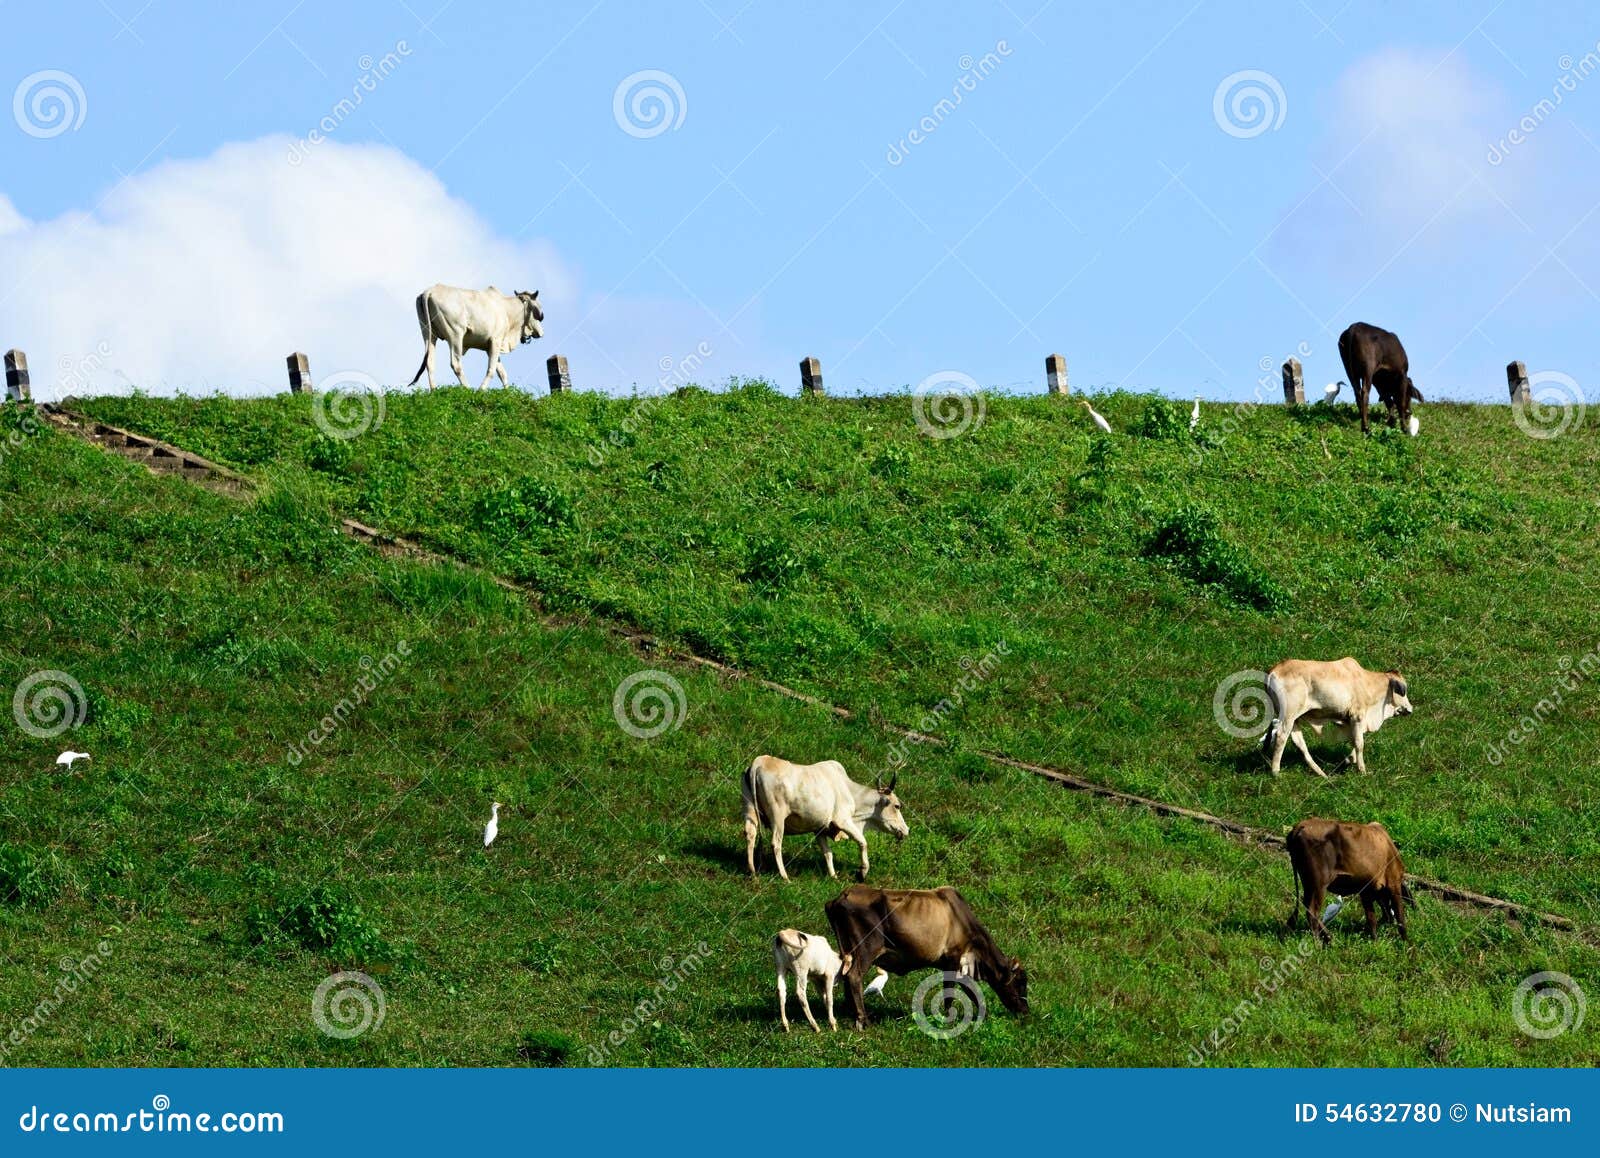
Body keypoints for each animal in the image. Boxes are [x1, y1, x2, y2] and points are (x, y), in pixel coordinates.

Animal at [406, 284, 544, 390]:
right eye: (538, 309)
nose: (541, 333)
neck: (507, 310)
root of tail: (429, 291)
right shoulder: (495, 341)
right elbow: (491, 370)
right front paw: (481, 390)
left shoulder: (490, 347)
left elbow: (502, 373)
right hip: (455, 334)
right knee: (456, 363)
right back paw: (468, 389)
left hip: (428, 334)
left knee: (429, 362)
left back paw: (434, 390)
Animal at [741, 754, 909, 882]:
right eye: (897, 806)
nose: (906, 830)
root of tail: (759, 762)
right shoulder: (843, 820)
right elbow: (863, 842)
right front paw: (862, 872)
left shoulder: (819, 829)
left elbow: (828, 853)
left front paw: (833, 876)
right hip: (777, 816)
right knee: (776, 843)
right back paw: (784, 876)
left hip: (749, 810)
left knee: (750, 835)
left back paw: (752, 871)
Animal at [825, 884, 1028, 1030]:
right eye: (1020, 982)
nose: (1026, 1011)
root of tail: (842, 896)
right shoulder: (952, 961)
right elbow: (950, 993)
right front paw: (949, 1019)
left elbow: (972, 992)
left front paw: (983, 1016)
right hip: (866, 949)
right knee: (854, 977)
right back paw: (863, 1019)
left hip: (849, 952)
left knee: (846, 977)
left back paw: (851, 1012)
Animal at [1261, 657, 1413, 777]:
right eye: (1404, 691)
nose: (1410, 709)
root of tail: (1273, 671)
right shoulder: (1357, 716)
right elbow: (1359, 744)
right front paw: (1362, 771)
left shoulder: (1348, 721)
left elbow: (1354, 742)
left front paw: (1349, 760)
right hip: (1288, 715)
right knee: (1281, 736)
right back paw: (1276, 772)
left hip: (1295, 720)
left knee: (1299, 743)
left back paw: (1321, 774)